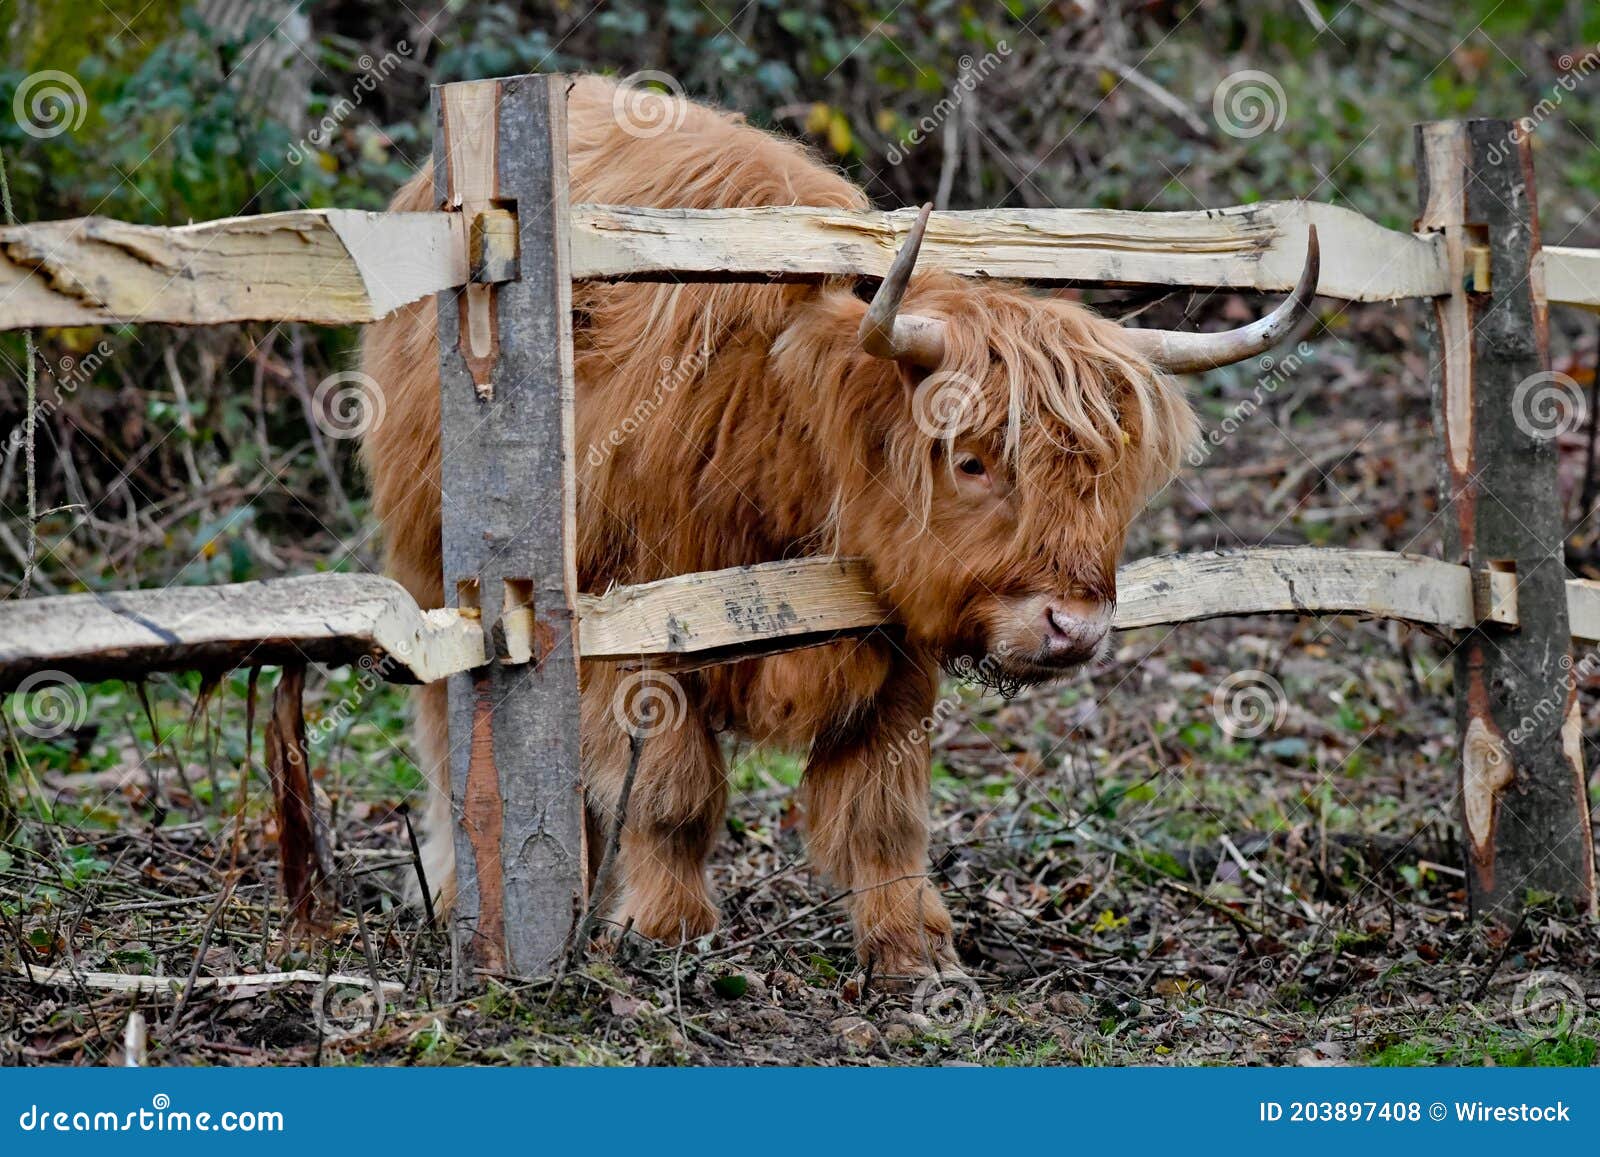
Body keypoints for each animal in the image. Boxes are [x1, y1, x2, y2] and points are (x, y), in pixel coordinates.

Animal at [359, 76, 1317, 978]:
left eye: (1105, 477)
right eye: (972, 460)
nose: (1073, 627)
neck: (782, 433)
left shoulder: (892, 640)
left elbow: (882, 810)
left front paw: (912, 951)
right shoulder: (632, 628)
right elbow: (673, 790)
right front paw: (667, 929)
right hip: (441, 571)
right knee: (454, 733)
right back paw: (466, 893)